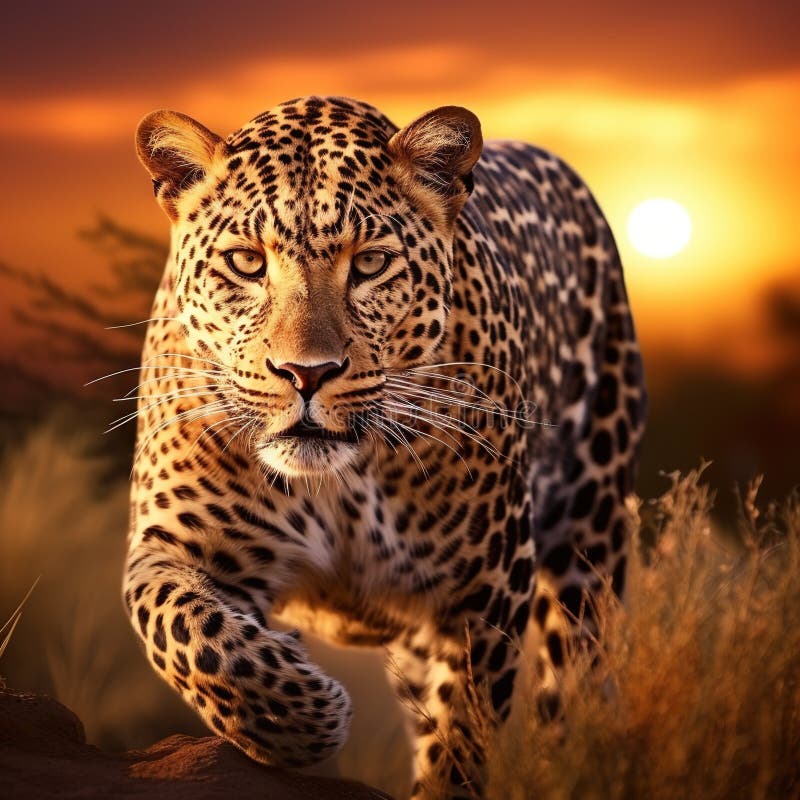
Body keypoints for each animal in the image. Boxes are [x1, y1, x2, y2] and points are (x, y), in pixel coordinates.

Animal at [123, 95, 646, 799]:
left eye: (370, 264)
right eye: (247, 262)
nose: (307, 373)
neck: (339, 480)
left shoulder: (484, 588)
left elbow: (463, 731)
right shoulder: (171, 548)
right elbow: (191, 636)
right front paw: (302, 718)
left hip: (593, 528)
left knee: (577, 683)